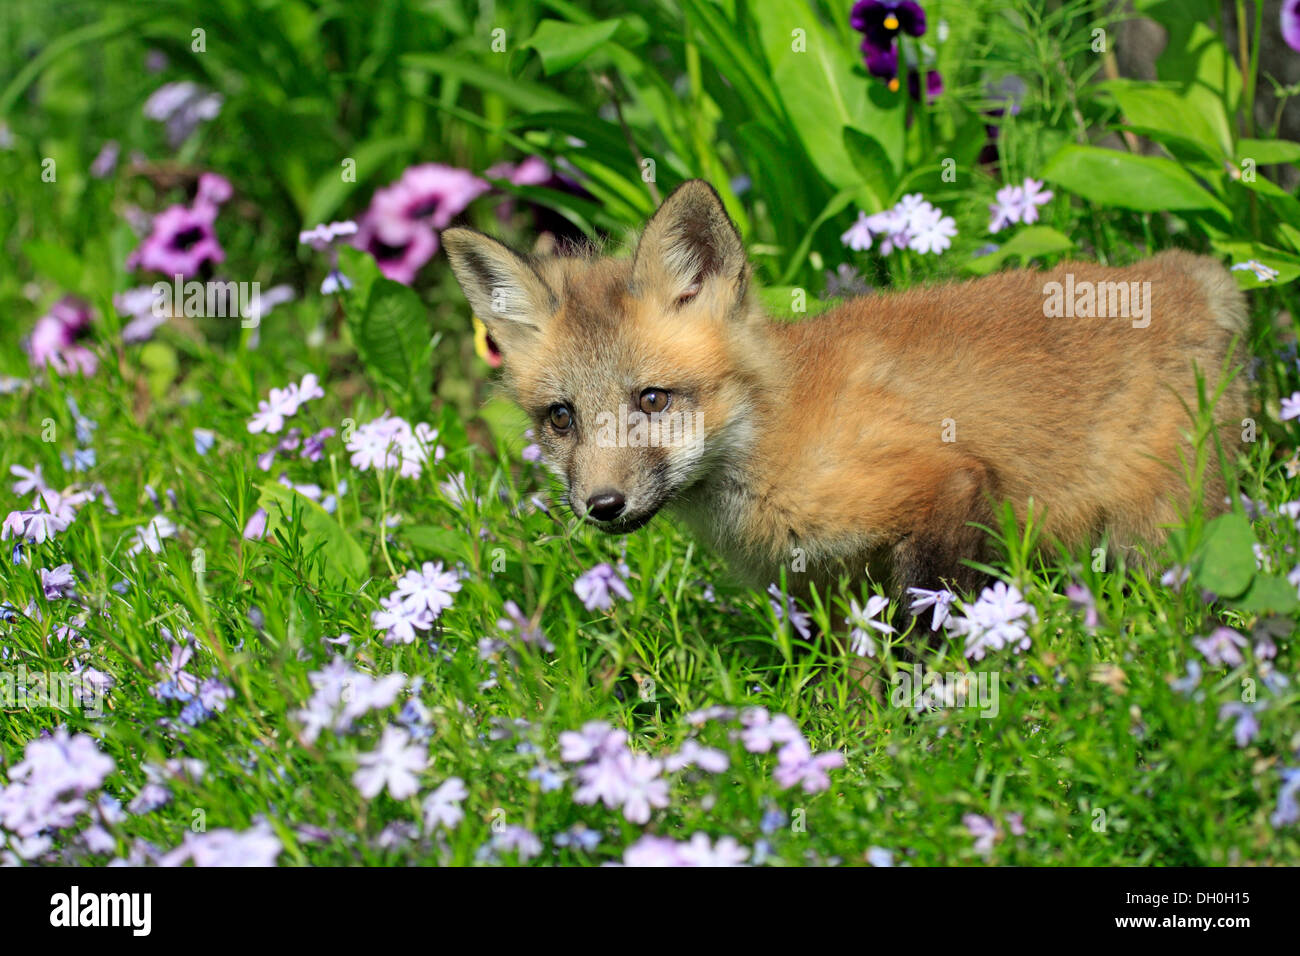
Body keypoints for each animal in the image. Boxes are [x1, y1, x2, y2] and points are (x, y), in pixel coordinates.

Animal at [442, 180, 1249, 608]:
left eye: (652, 399)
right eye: (561, 418)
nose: (601, 505)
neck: (773, 442)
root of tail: (1183, 276)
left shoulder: (944, 487)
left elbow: (922, 630)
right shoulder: (828, 582)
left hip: (1159, 537)